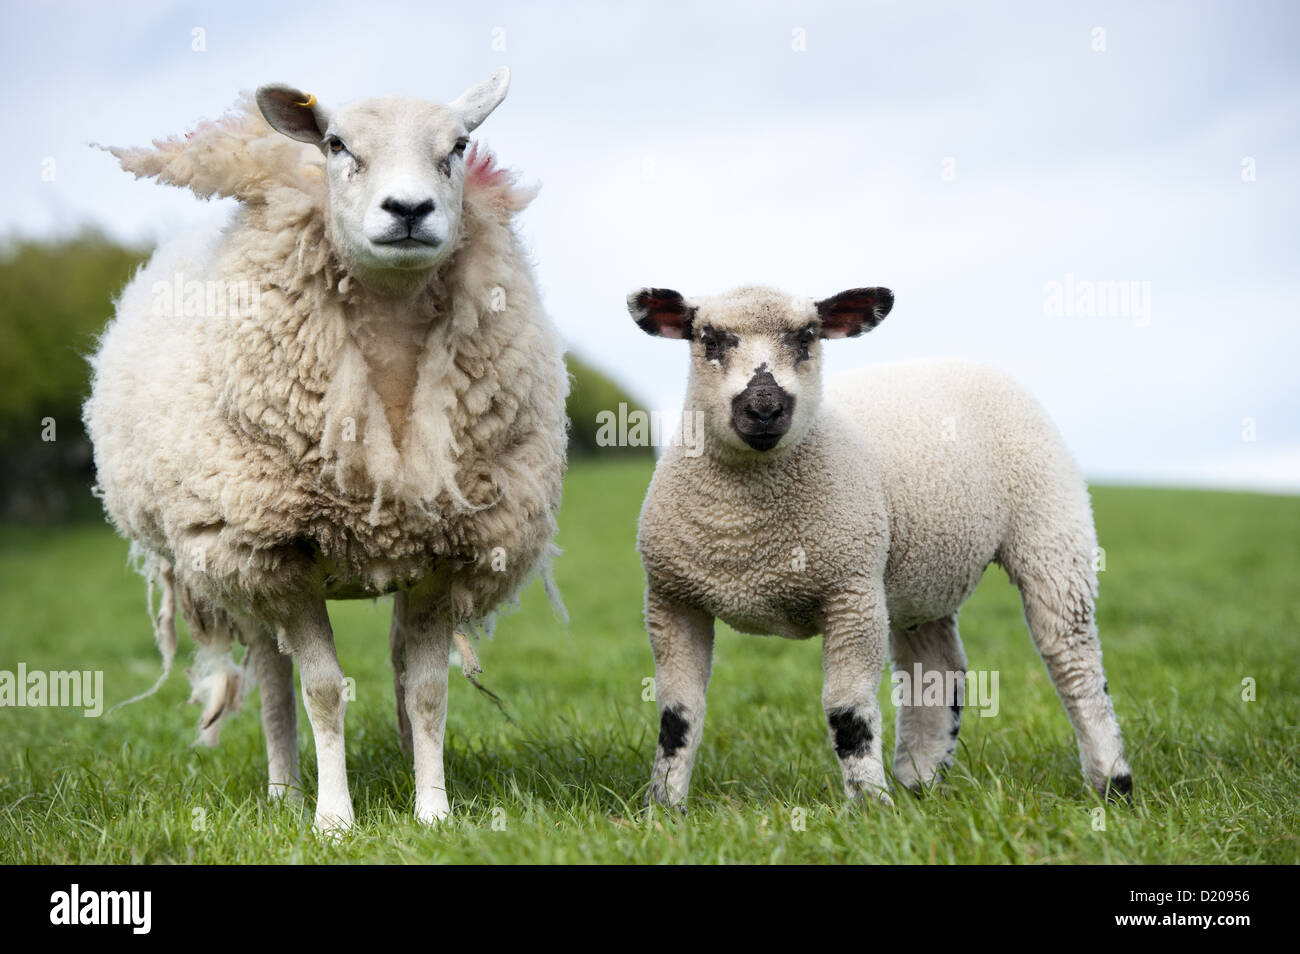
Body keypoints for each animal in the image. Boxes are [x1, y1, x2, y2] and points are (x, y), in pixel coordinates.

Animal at [83, 68, 569, 832]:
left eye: (460, 145)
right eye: (337, 144)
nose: (409, 209)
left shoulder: (445, 554)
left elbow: (429, 691)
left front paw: (433, 810)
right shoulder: (285, 559)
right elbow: (322, 690)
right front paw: (333, 819)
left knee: (398, 664)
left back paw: (402, 761)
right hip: (242, 565)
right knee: (273, 678)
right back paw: (284, 789)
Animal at [627, 284, 1131, 808]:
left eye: (807, 336)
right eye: (709, 338)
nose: (765, 408)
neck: (742, 532)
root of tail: (967, 361)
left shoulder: (852, 593)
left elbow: (847, 710)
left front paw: (869, 805)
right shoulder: (672, 599)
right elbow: (678, 713)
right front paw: (663, 806)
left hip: (1051, 527)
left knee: (1072, 660)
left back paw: (1112, 783)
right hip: (921, 573)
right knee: (937, 670)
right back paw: (919, 785)